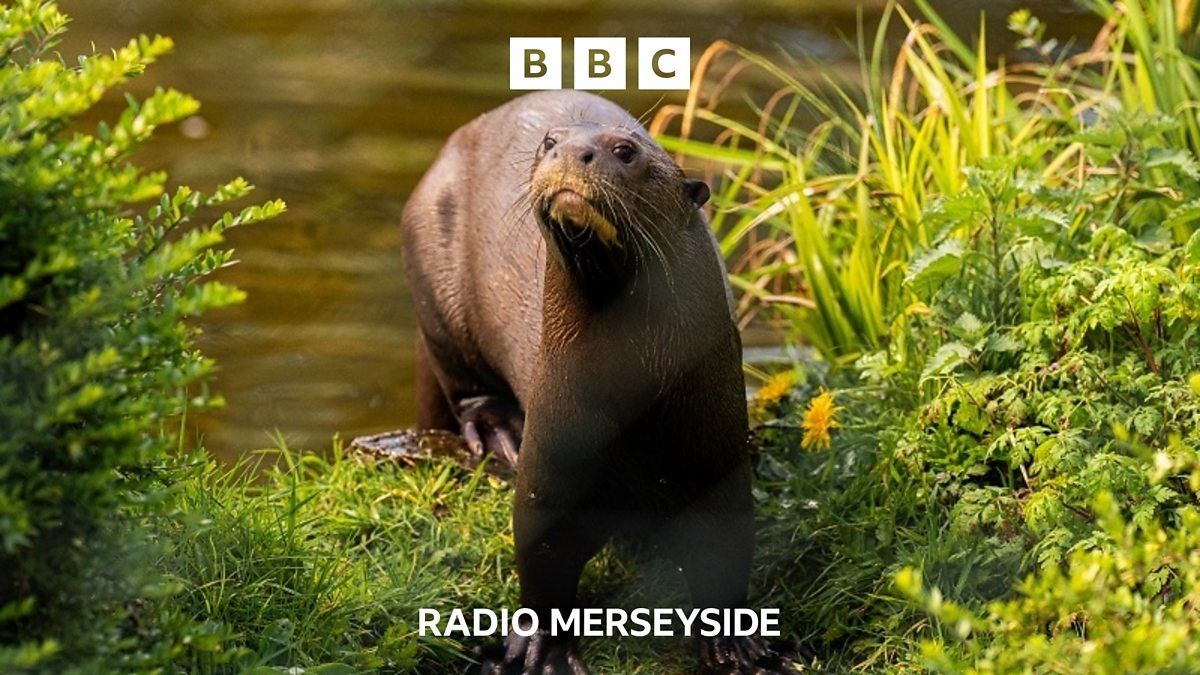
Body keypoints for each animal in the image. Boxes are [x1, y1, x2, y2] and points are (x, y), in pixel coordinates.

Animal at [402, 90, 782, 674]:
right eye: (549, 142)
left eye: (625, 150)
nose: (565, 153)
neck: (630, 400)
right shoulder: (552, 458)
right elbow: (543, 563)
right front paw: (544, 650)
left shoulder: (717, 458)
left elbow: (725, 556)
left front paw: (736, 647)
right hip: (431, 268)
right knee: (463, 380)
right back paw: (496, 431)